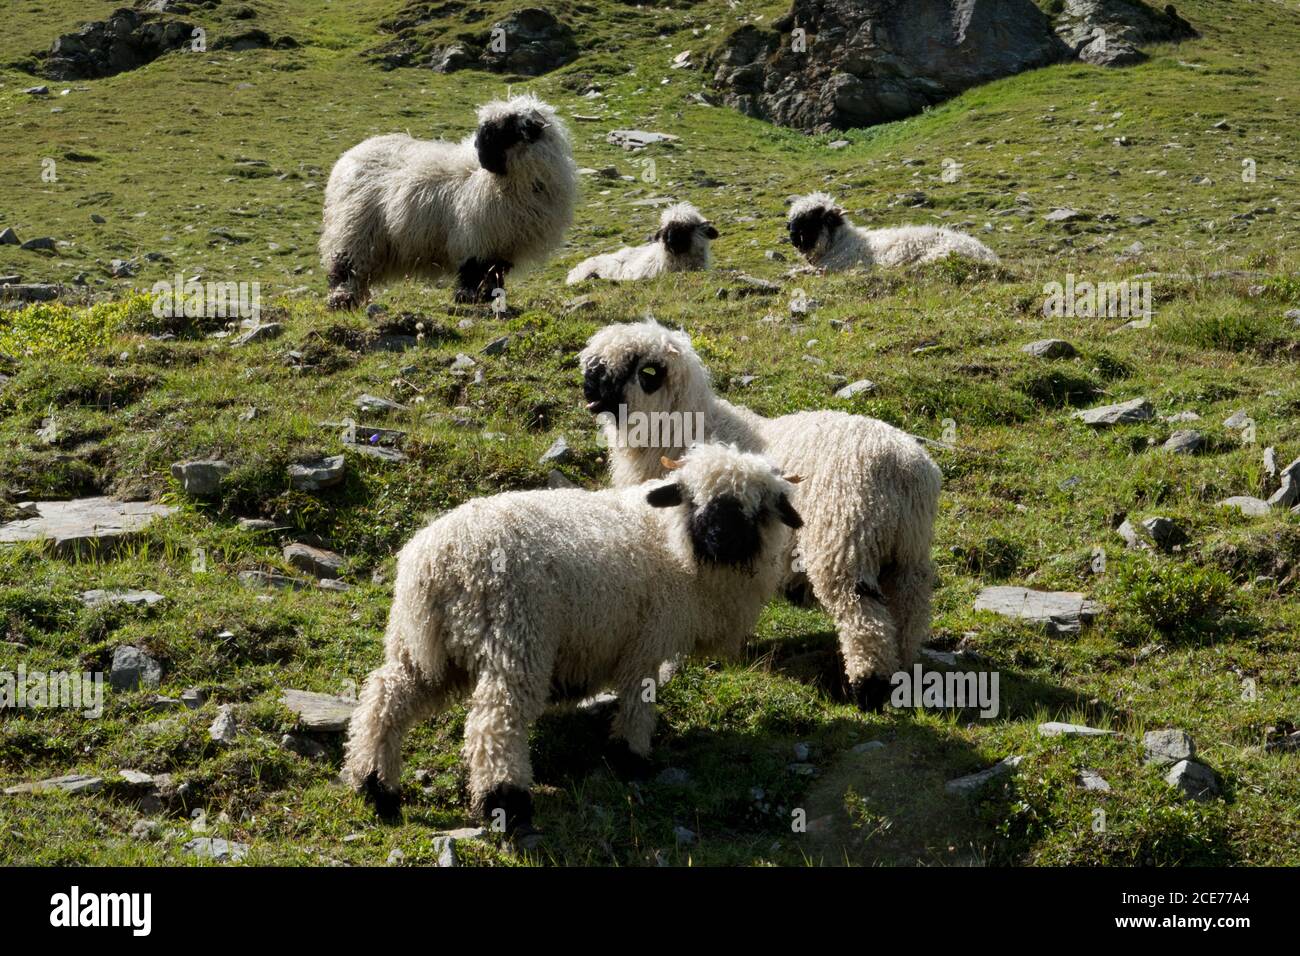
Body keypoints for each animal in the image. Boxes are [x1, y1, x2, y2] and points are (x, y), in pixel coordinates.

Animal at [319, 93, 578, 309]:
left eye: (504, 130)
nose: (480, 152)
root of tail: (350, 155)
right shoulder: (475, 236)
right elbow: (473, 270)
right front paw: (468, 298)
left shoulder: (501, 243)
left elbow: (494, 274)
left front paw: (490, 296)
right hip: (354, 227)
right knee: (344, 267)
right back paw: (342, 298)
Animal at [342, 443, 803, 835]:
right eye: (694, 499)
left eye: (755, 508)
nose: (719, 539)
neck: (673, 540)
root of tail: (440, 560)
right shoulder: (646, 643)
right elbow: (638, 703)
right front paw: (631, 756)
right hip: (515, 640)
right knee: (495, 721)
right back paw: (505, 801)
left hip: (420, 646)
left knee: (385, 698)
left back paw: (375, 785)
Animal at [579, 319, 942, 712]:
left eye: (635, 364)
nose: (588, 379)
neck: (682, 430)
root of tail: (905, 469)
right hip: (908, 554)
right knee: (909, 610)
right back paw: (902, 671)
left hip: (846, 541)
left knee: (863, 616)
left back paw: (868, 687)